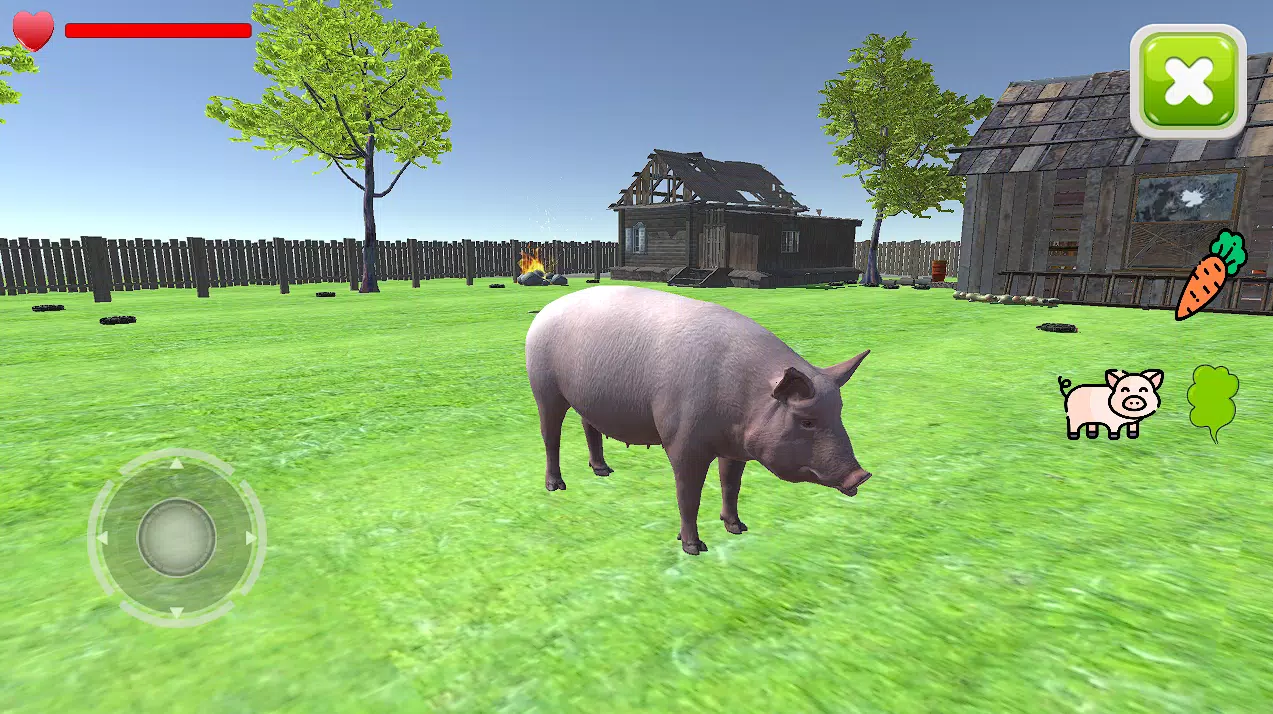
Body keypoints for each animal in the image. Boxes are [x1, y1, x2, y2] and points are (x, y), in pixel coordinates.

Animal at [526, 285, 873, 555]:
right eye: (806, 421)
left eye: (839, 412)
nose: (861, 475)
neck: (745, 396)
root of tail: (544, 312)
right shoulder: (683, 442)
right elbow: (688, 495)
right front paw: (694, 548)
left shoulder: (734, 449)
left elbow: (731, 485)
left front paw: (738, 528)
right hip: (544, 389)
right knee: (550, 436)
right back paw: (556, 486)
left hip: (587, 399)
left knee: (589, 427)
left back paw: (603, 472)